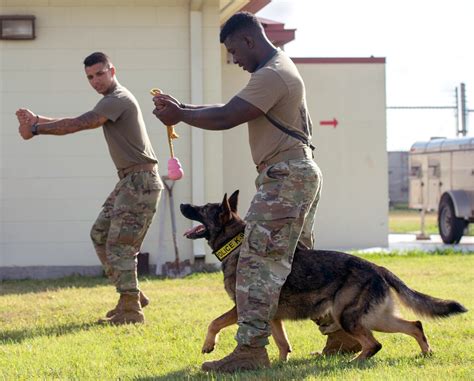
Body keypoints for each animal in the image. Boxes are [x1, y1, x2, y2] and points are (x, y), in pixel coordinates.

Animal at [181, 191, 466, 360]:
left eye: (202, 208)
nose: (183, 203)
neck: (237, 244)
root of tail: (377, 267)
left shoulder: (242, 308)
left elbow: (215, 322)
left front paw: (208, 345)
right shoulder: (273, 318)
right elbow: (282, 343)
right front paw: (278, 365)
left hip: (348, 316)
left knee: (374, 344)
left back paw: (354, 362)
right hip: (375, 318)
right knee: (415, 325)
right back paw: (426, 352)